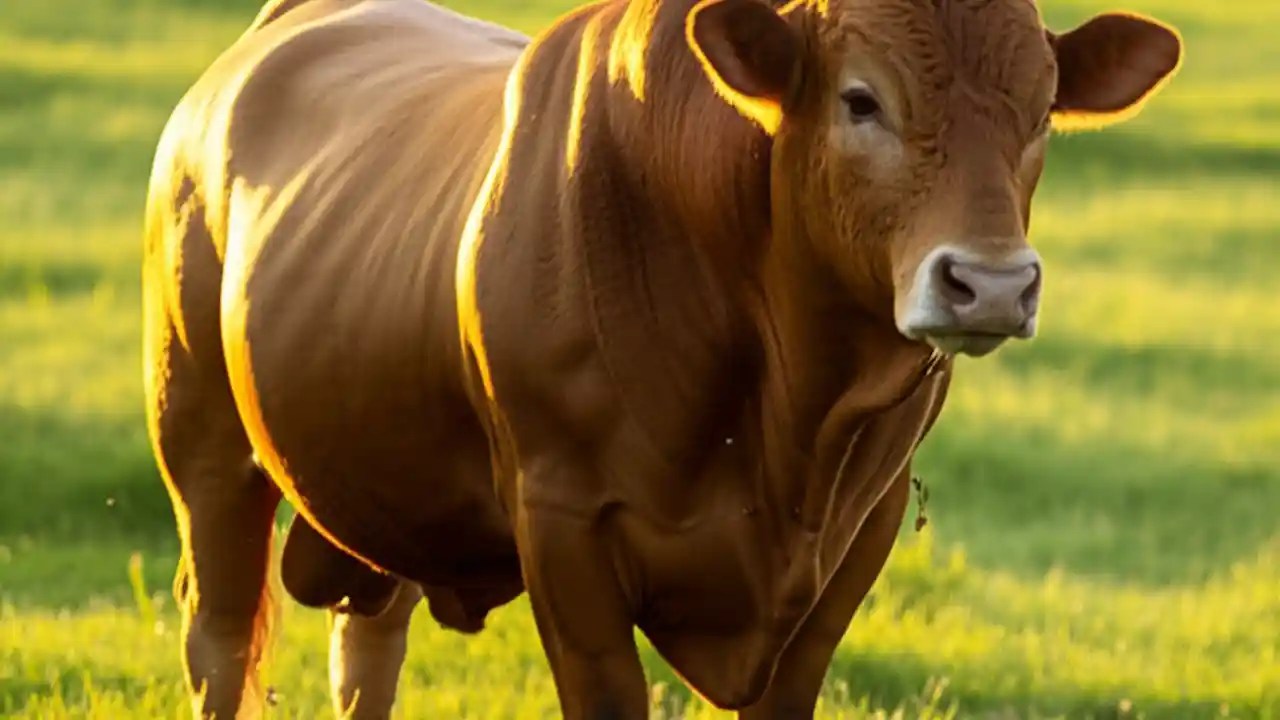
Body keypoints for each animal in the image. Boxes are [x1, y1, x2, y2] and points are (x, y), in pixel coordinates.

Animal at [142, 0, 1181, 717]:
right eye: (861, 100)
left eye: (1042, 114)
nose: (992, 284)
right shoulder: (563, 526)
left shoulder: (858, 536)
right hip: (204, 447)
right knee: (221, 643)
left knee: (368, 642)